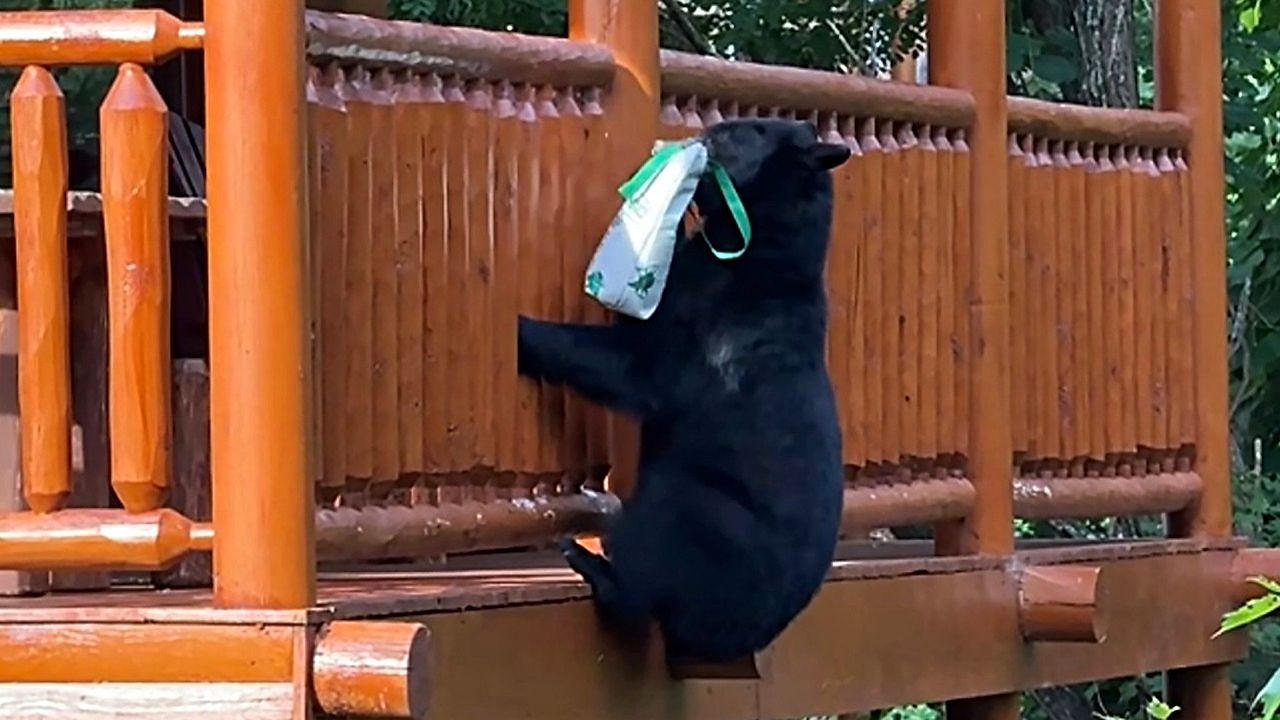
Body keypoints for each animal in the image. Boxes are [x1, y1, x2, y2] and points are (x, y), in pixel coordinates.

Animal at [517, 117, 851, 663]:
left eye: (748, 131)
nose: (706, 130)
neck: (759, 257)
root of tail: (747, 635)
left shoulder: (690, 338)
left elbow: (625, 365)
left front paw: (522, 333)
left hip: (694, 510)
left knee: (642, 587)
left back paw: (590, 563)